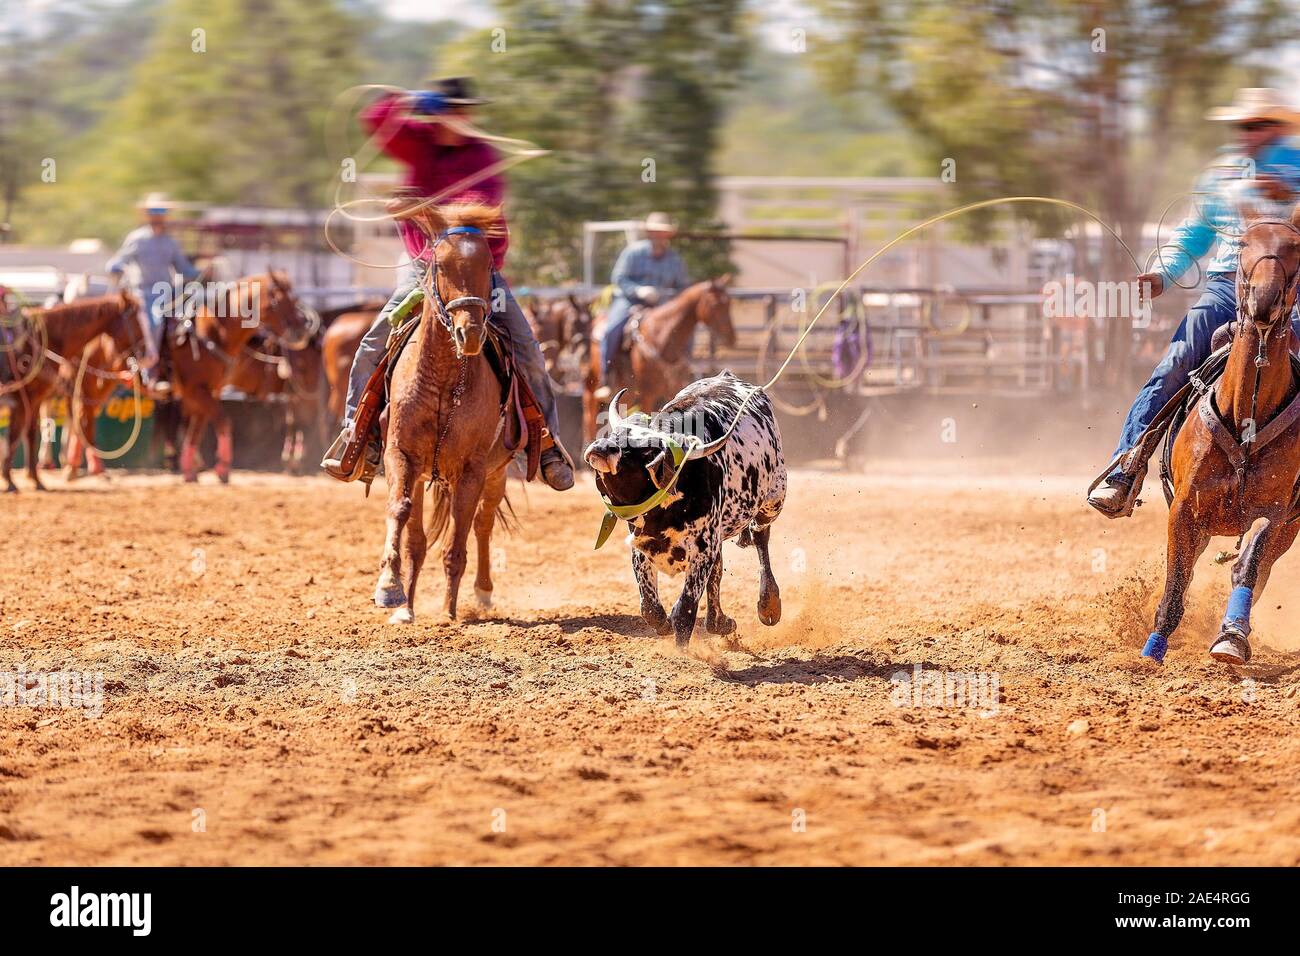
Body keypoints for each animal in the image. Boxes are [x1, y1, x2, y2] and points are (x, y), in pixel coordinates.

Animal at [583, 370, 786, 646]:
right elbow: (649, 606)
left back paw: (768, 604)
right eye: (617, 435)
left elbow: (685, 609)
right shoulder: (642, 546)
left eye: (647, 451)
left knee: (760, 537)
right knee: (717, 575)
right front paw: (664, 625)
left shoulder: (703, 550)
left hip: (773, 499)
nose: (602, 448)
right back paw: (719, 622)